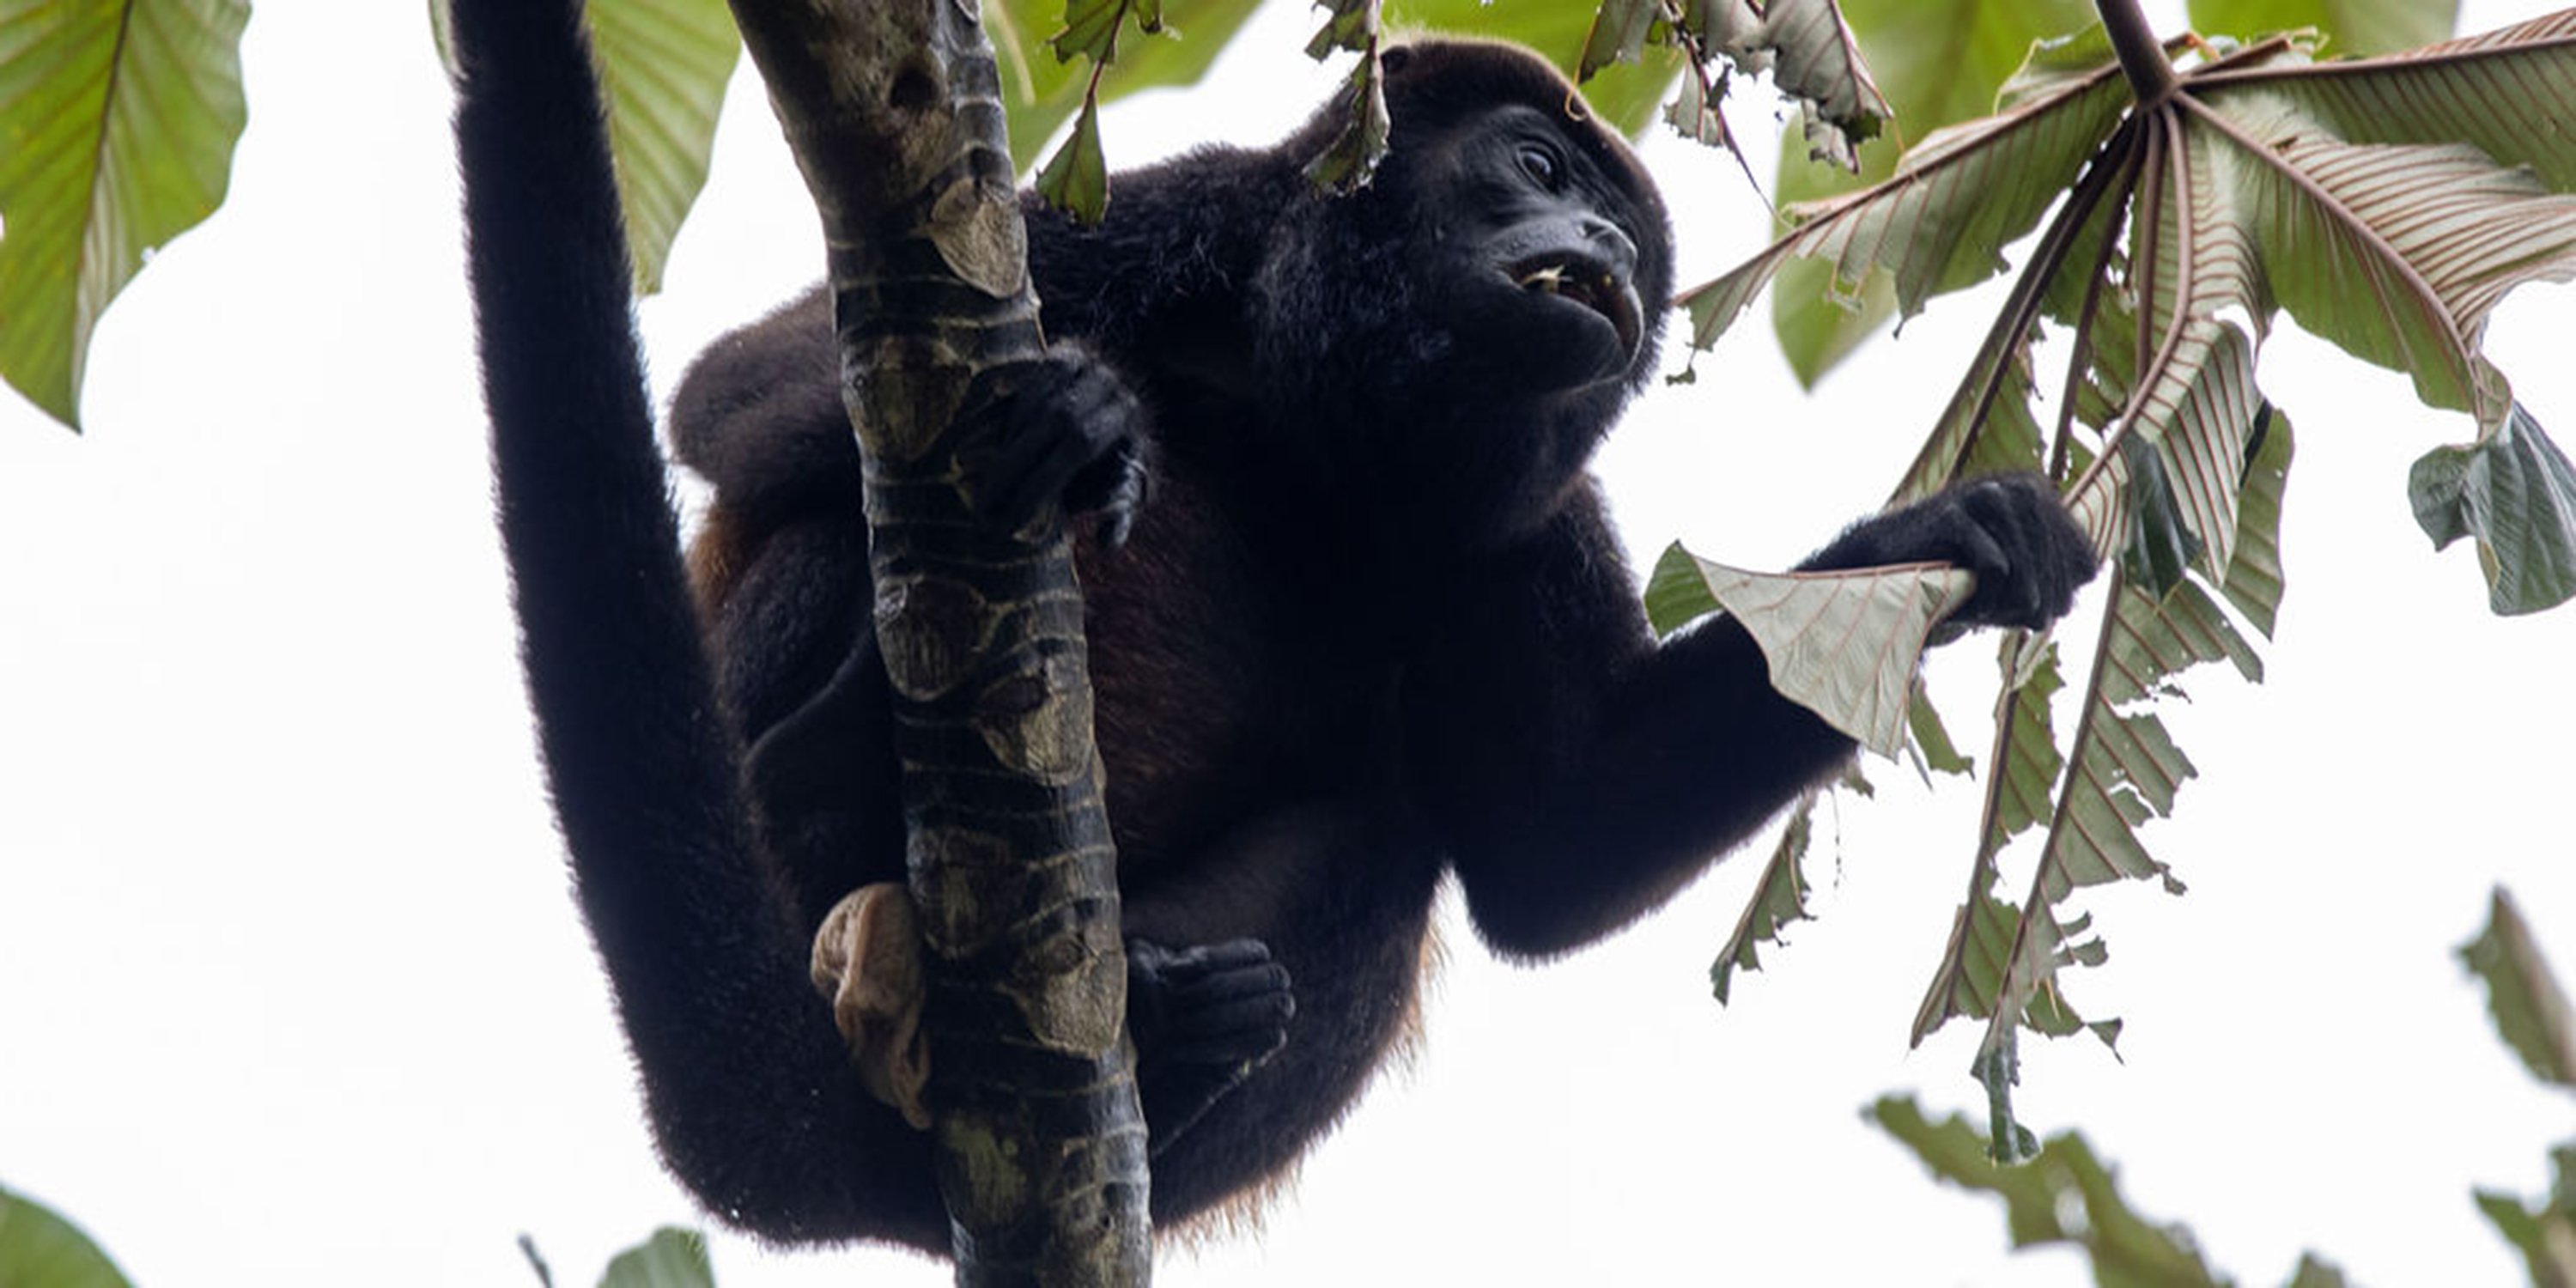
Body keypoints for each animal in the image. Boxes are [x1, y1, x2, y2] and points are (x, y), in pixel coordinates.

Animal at [450, 0, 2098, 1255]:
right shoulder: (1187, 212)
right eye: (1536, 163)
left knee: (1384, 830)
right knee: (815, 529)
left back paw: (1174, 1032)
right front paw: (1089, 410)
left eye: (1626, 230)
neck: (1337, 405)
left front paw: (1967, 540)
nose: (1610, 252)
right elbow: (729, 389)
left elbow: (1557, 844)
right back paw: (827, 760)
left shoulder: (1536, 513)